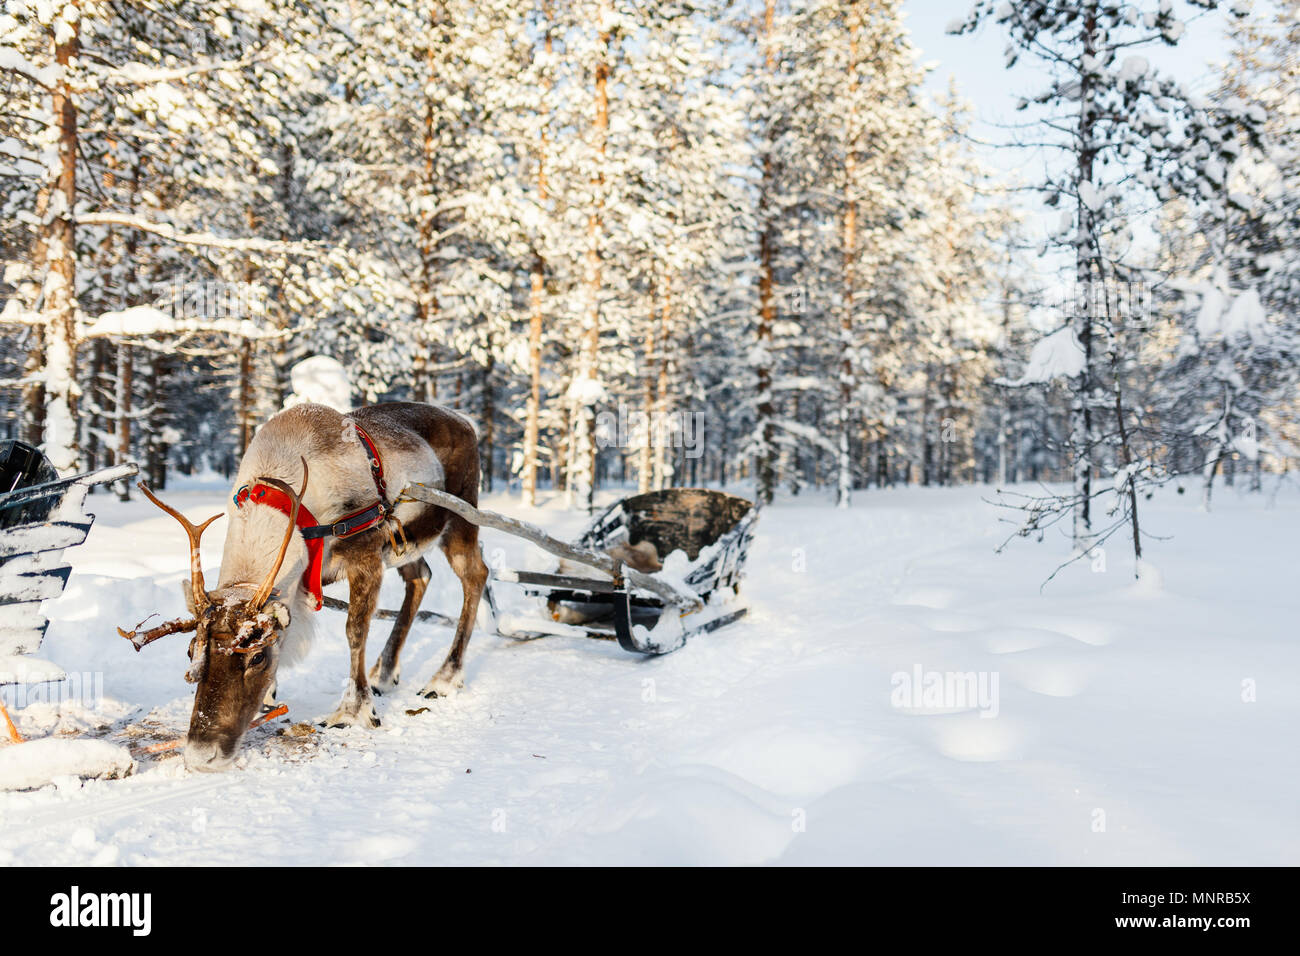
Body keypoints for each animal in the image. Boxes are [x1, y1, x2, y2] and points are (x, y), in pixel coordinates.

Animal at [118, 401, 489, 772]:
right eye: (191, 649)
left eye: (257, 657)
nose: (200, 757)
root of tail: (465, 421)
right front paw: (271, 694)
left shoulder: (365, 556)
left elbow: (355, 632)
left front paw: (353, 711)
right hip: (402, 543)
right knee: (421, 577)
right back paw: (384, 672)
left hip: (459, 520)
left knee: (475, 575)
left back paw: (444, 678)